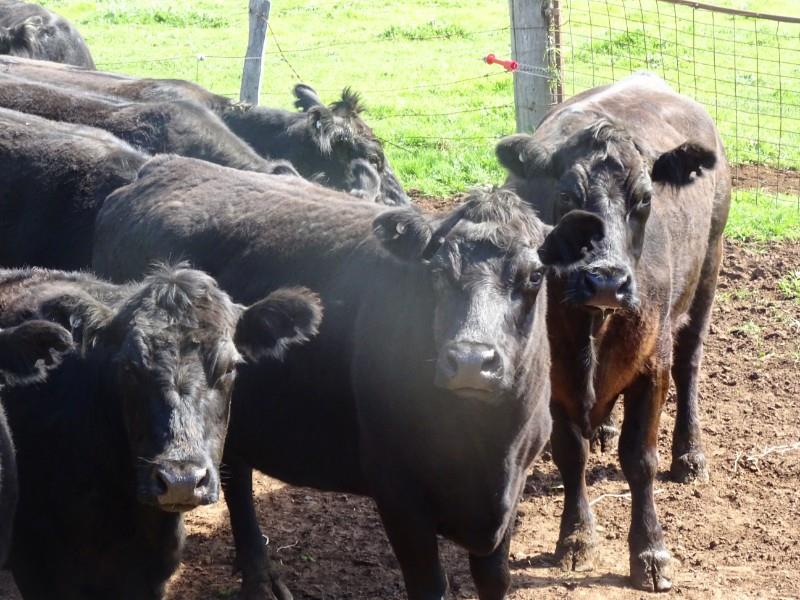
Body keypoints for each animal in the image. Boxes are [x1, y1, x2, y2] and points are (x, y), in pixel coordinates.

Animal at [91, 154, 605, 600]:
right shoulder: (397, 491)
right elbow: (429, 585)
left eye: (534, 276)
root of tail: (157, 169)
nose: (471, 361)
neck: (484, 447)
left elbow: (495, 580)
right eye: (437, 272)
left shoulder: (509, 490)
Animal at [495, 72, 731, 591]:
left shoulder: (651, 367)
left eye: (644, 198)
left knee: (690, 366)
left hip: (707, 272)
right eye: (566, 197)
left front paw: (650, 552)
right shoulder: (553, 377)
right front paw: (576, 538)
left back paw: (690, 456)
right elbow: (571, 455)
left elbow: (639, 459)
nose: (605, 278)